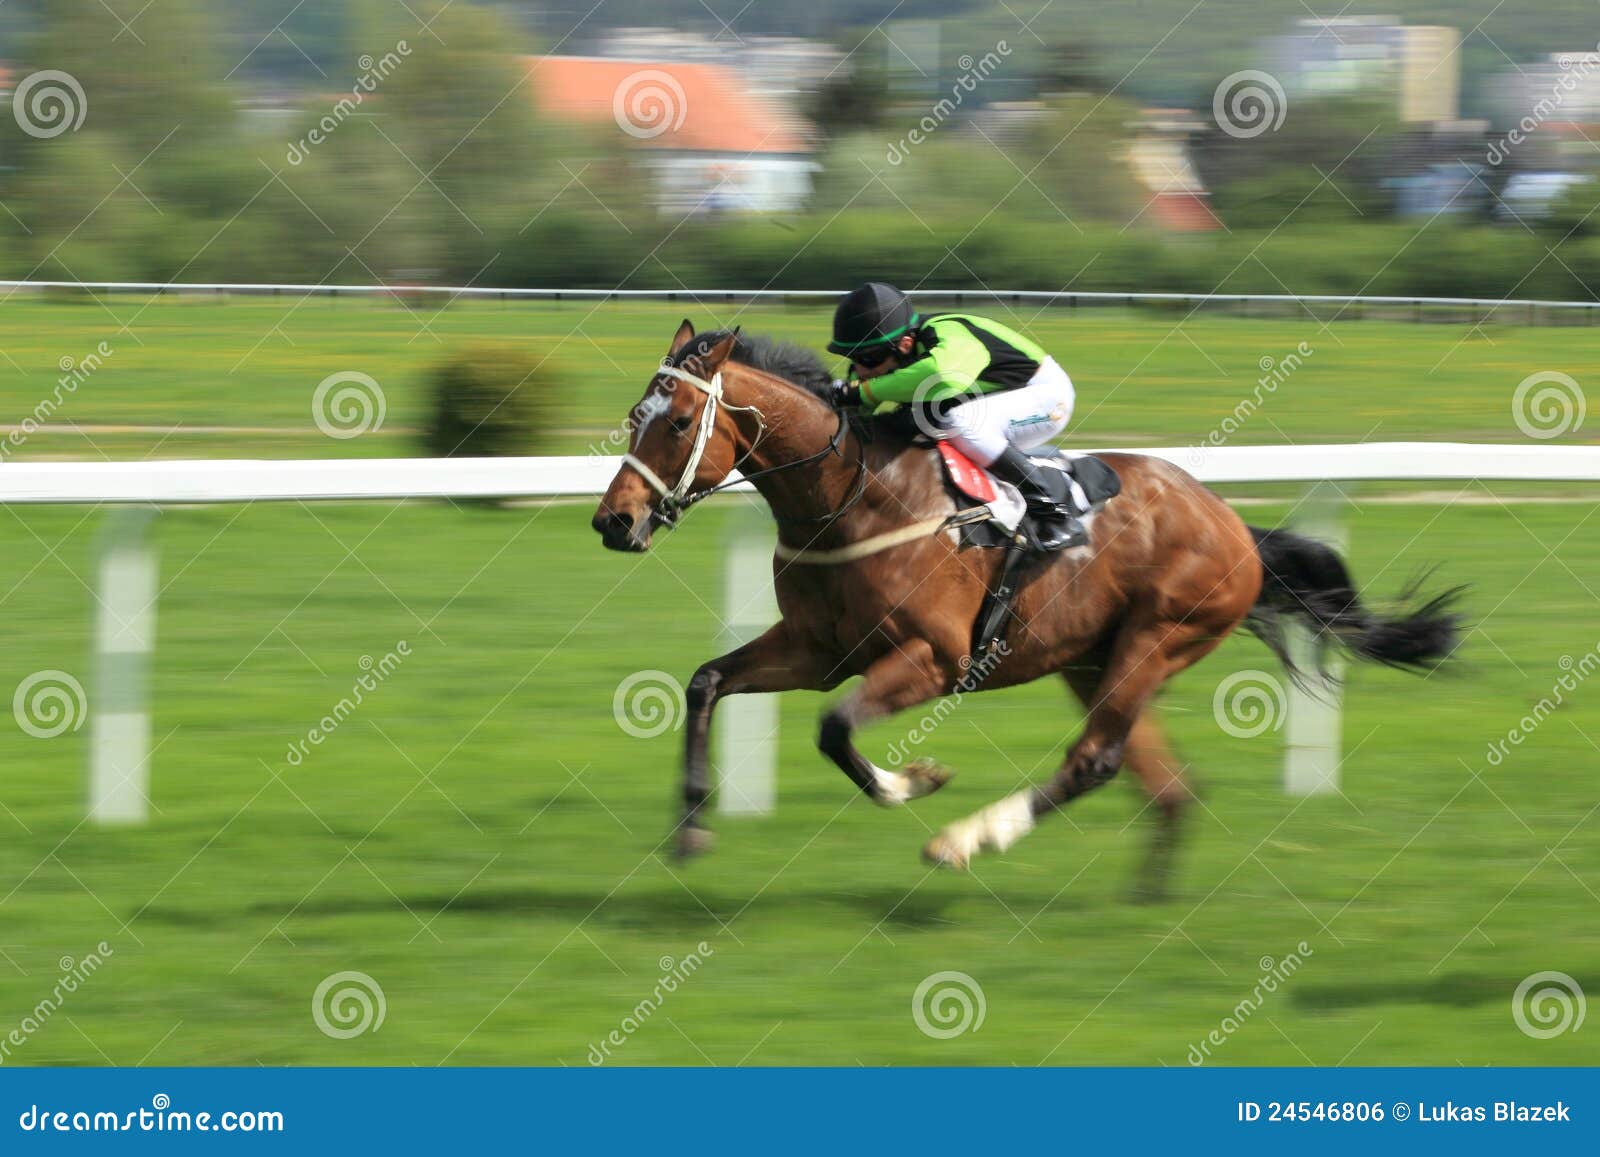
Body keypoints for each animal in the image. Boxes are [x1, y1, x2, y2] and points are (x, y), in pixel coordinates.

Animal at [592, 320, 1462, 897]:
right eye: (634, 417)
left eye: (679, 421)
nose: (614, 521)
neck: (852, 495)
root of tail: (1234, 526)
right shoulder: (818, 647)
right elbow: (705, 681)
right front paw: (693, 827)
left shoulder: (931, 659)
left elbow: (835, 728)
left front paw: (917, 780)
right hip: (1093, 656)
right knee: (1159, 778)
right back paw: (1147, 894)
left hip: (1158, 636)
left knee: (1098, 759)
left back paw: (963, 841)